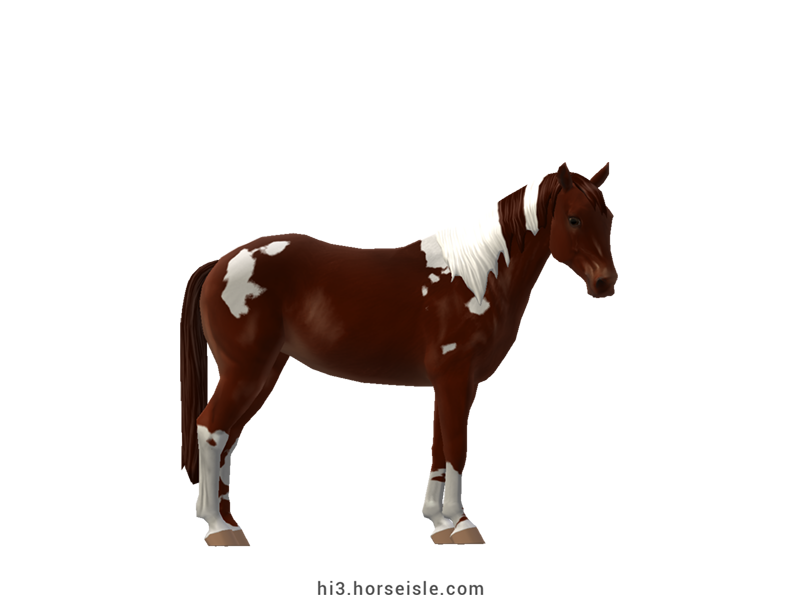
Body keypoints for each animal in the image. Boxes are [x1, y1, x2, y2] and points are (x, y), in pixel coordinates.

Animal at [180, 164, 617, 539]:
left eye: (603, 216)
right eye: (574, 218)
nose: (604, 282)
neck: (478, 277)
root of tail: (220, 263)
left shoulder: (449, 379)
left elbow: (440, 446)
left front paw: (436, 520)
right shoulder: (455, 374)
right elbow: (457, 443)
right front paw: (461, 521)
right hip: (243, 370)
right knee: (211, 429)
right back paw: (217, 527)